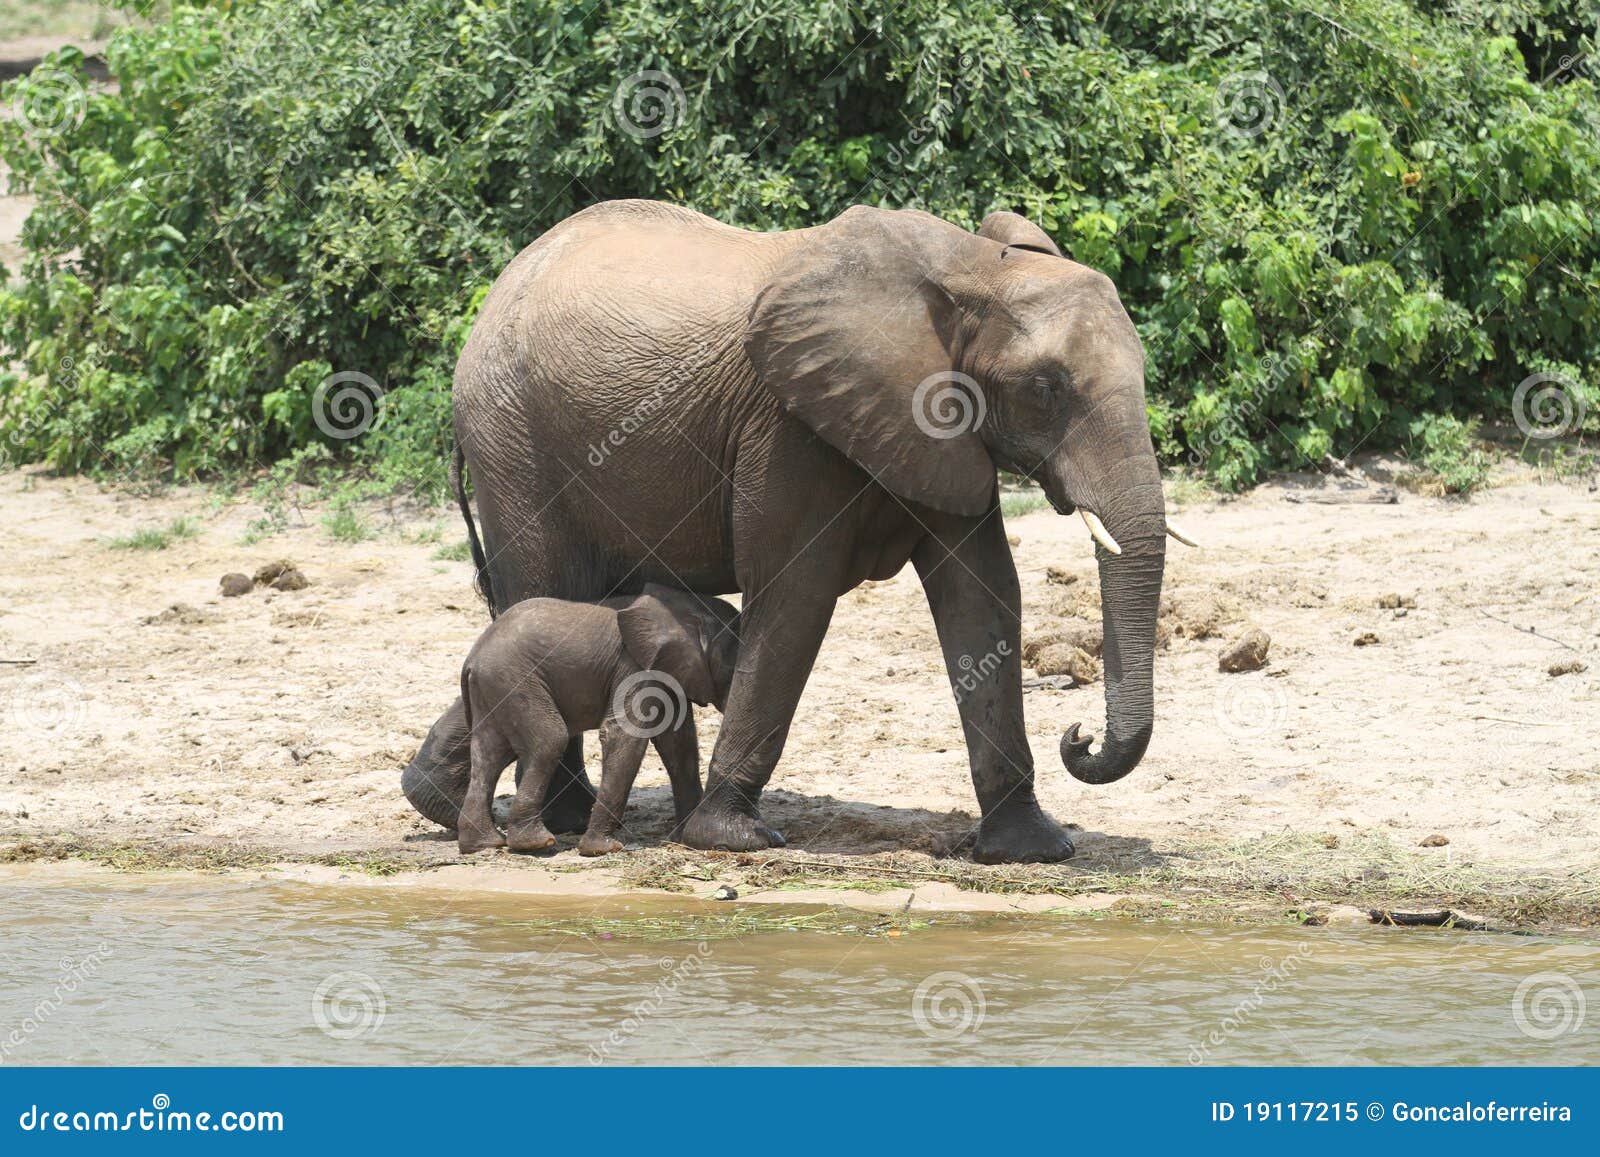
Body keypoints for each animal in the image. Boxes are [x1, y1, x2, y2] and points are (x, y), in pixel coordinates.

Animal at [456, 584, 739, 857]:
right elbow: (625, 735)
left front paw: (683, 837)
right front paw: (603, 849)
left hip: (494, 687)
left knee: (490, 754)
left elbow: (677, 741)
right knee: (550, 739)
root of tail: (471, 659)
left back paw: (484, 844)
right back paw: (535, 843)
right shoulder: (634, 667)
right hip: (514, 680)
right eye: (732, 672)